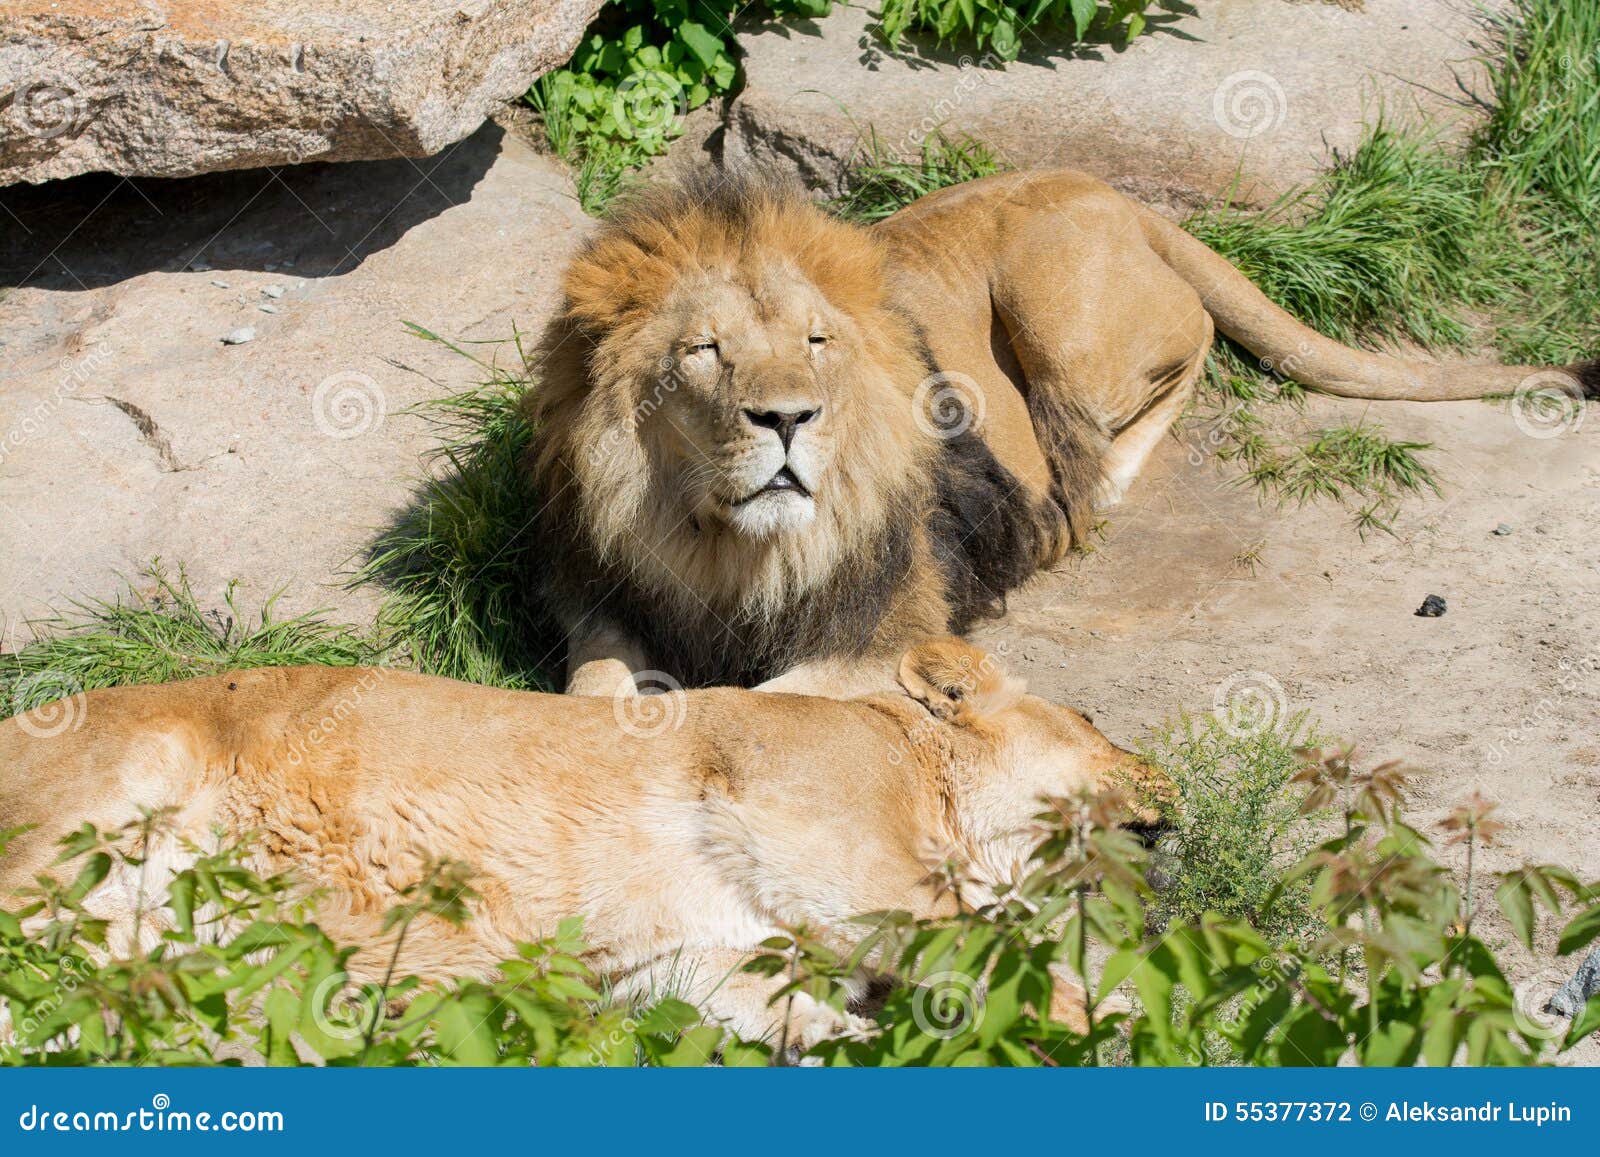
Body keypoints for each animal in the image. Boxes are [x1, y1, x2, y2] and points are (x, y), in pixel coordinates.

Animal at [0, 639, 1169, 1047]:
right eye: (1094, 720)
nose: (1168, 792)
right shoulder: (812, 822)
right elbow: (980, 943)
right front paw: (1129, 1018)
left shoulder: (693, 956)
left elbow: (778, 1011)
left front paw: (848, 1035)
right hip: (130, 769)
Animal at [527, 170, 1597, 695]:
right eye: (706, 351)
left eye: (816, 341)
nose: (788, 418)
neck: (727, 549)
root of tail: (1110, 189)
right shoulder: (598, 594)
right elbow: (594, 690)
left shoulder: (894, 623)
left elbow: (762, 703)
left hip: (1051, 303)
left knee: (1192, 345)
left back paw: (1094, 485)